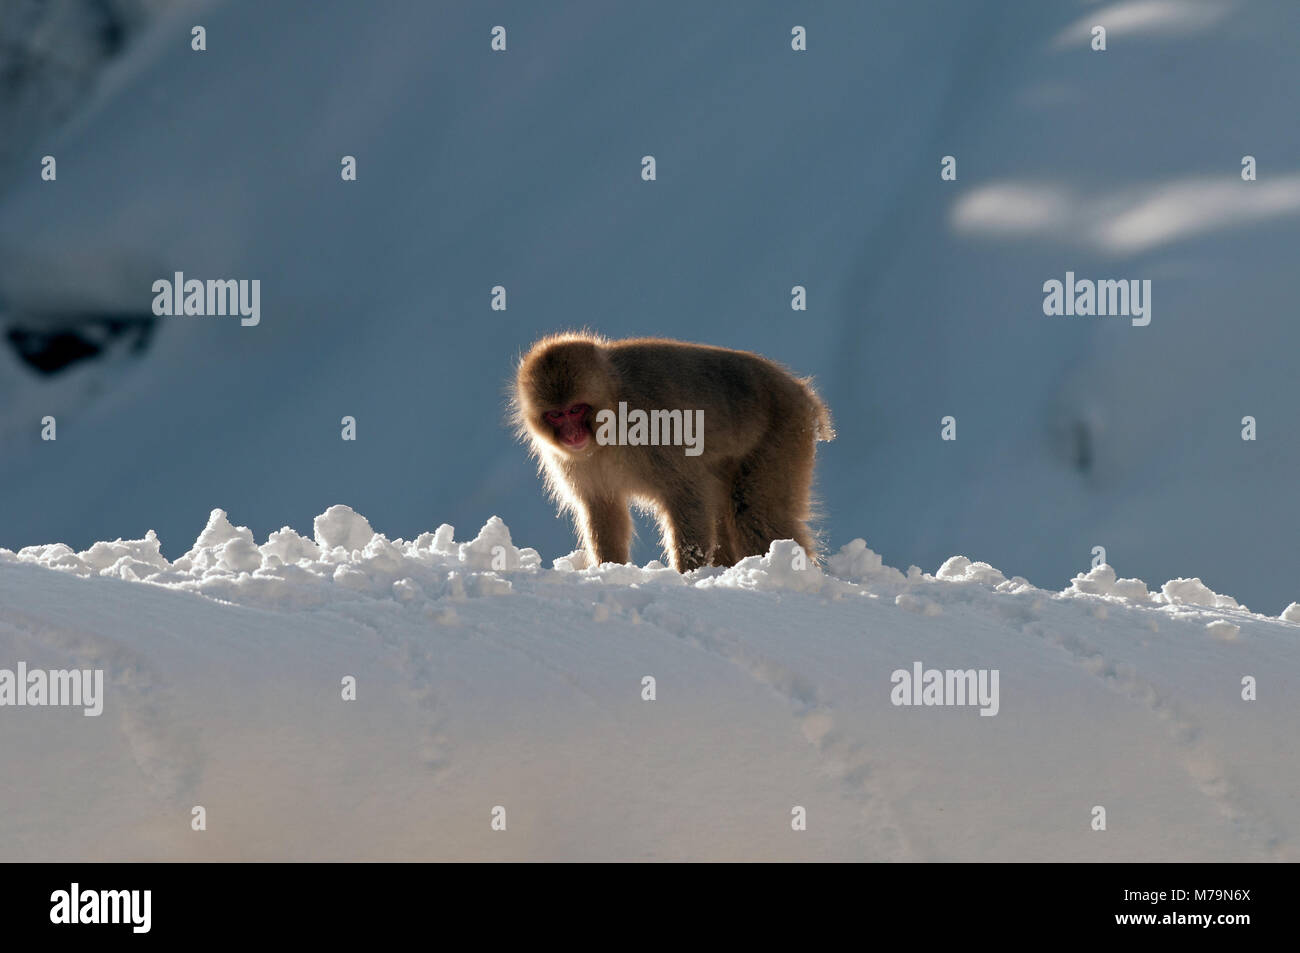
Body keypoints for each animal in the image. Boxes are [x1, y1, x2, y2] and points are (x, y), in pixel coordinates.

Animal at [512, 331, 834, 572]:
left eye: (576, 410)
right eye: (556, 415)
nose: (572, 435)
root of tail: (802, 394)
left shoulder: (653, 428)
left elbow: (686, 495)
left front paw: (689, 575)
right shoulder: (573, 462)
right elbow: (602, 506)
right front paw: (608, 568)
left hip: (782, 436)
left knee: (755, 514)